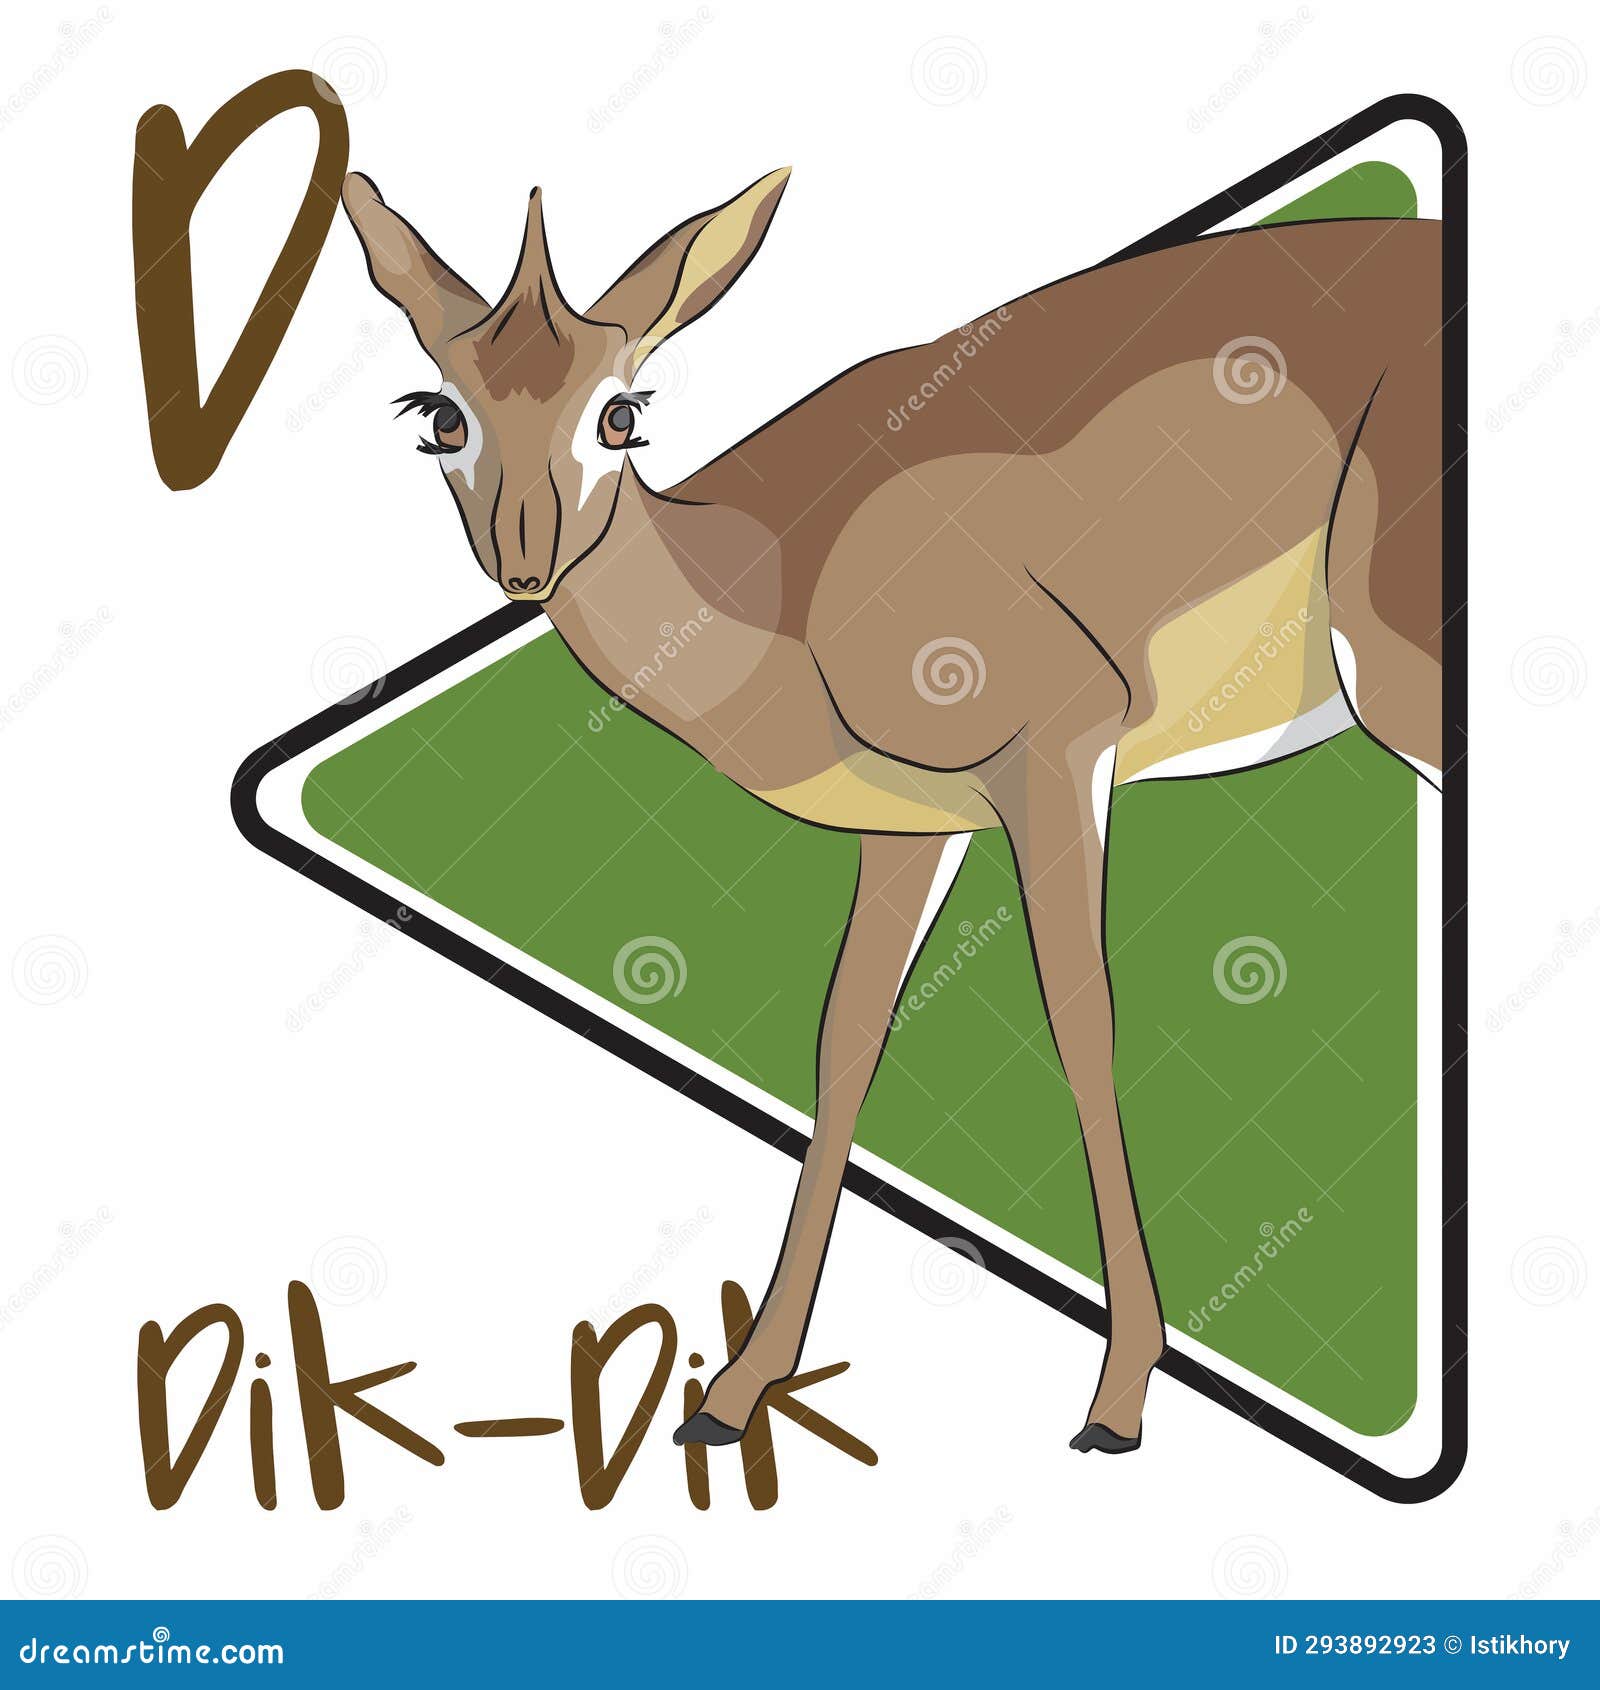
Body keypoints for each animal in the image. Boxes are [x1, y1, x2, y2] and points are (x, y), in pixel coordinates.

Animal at [341, 165, 1442, 1454]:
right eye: (441, 414)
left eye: (622, 412)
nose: (526, 560)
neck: (783, 587)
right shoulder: (910, 828)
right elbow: (843, 1044)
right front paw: (731, 1392)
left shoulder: (1058, 750)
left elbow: (1081, 1019)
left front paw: (1118, 1394)